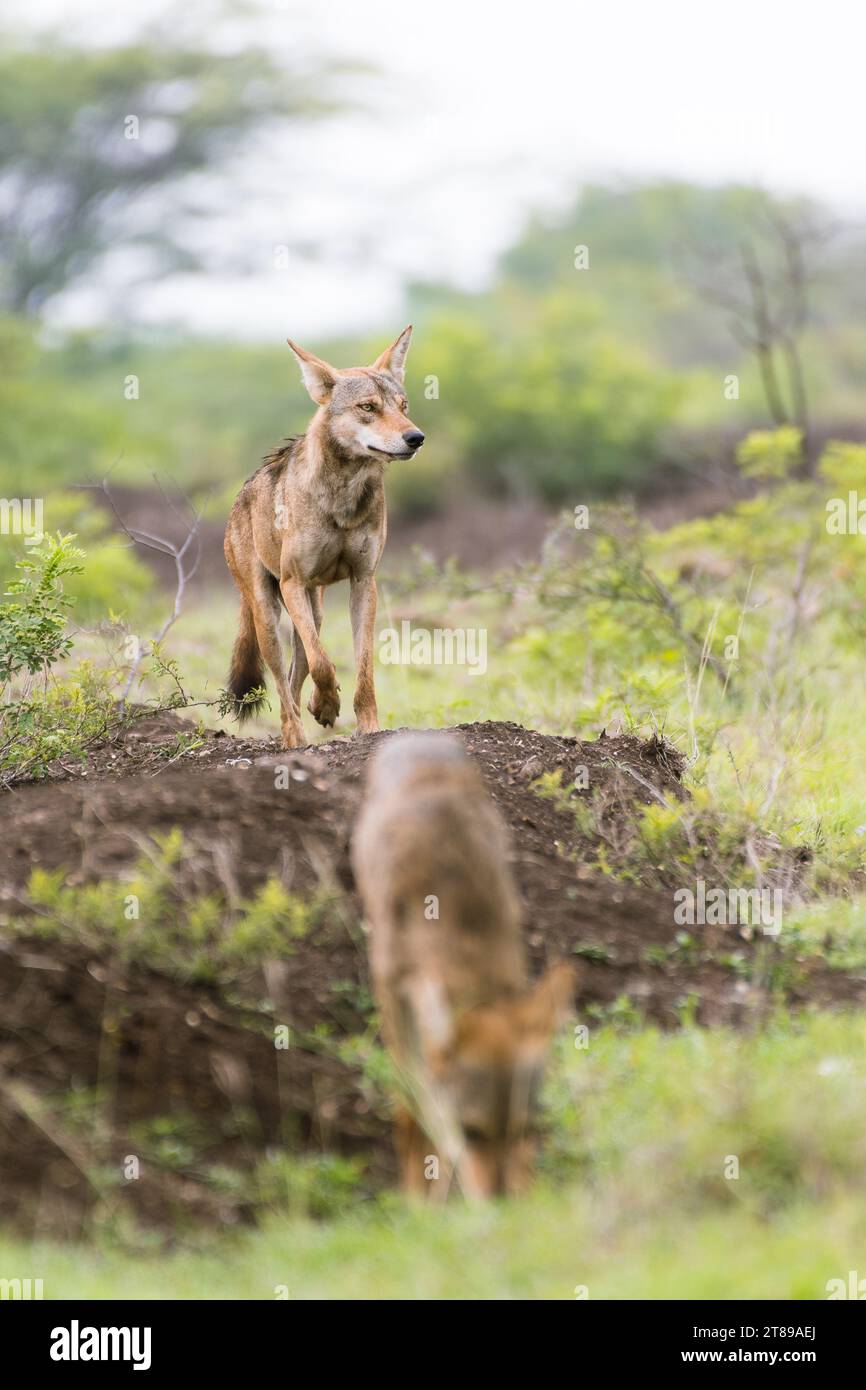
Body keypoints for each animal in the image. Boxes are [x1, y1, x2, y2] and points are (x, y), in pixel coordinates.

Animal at [224, 327, 424, 748]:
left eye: (403, 405)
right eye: (368, 407)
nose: (416, 437)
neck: (343, 498)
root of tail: (240, 497)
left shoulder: (364, 582)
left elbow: (361, 669)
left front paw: (367, 727)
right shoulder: (294, 583)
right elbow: (324, 664)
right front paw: (329, 703)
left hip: (311, 610)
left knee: (296, 676)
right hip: (270, 613)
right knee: (284, 688)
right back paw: (294, 741)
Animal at [351, 732, 574, 1198]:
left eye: (524, 1130)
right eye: (471, 1132)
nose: (506, 1205)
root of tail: (420, 736)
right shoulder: (391, 989)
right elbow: (412, 1110)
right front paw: (418, 1197)